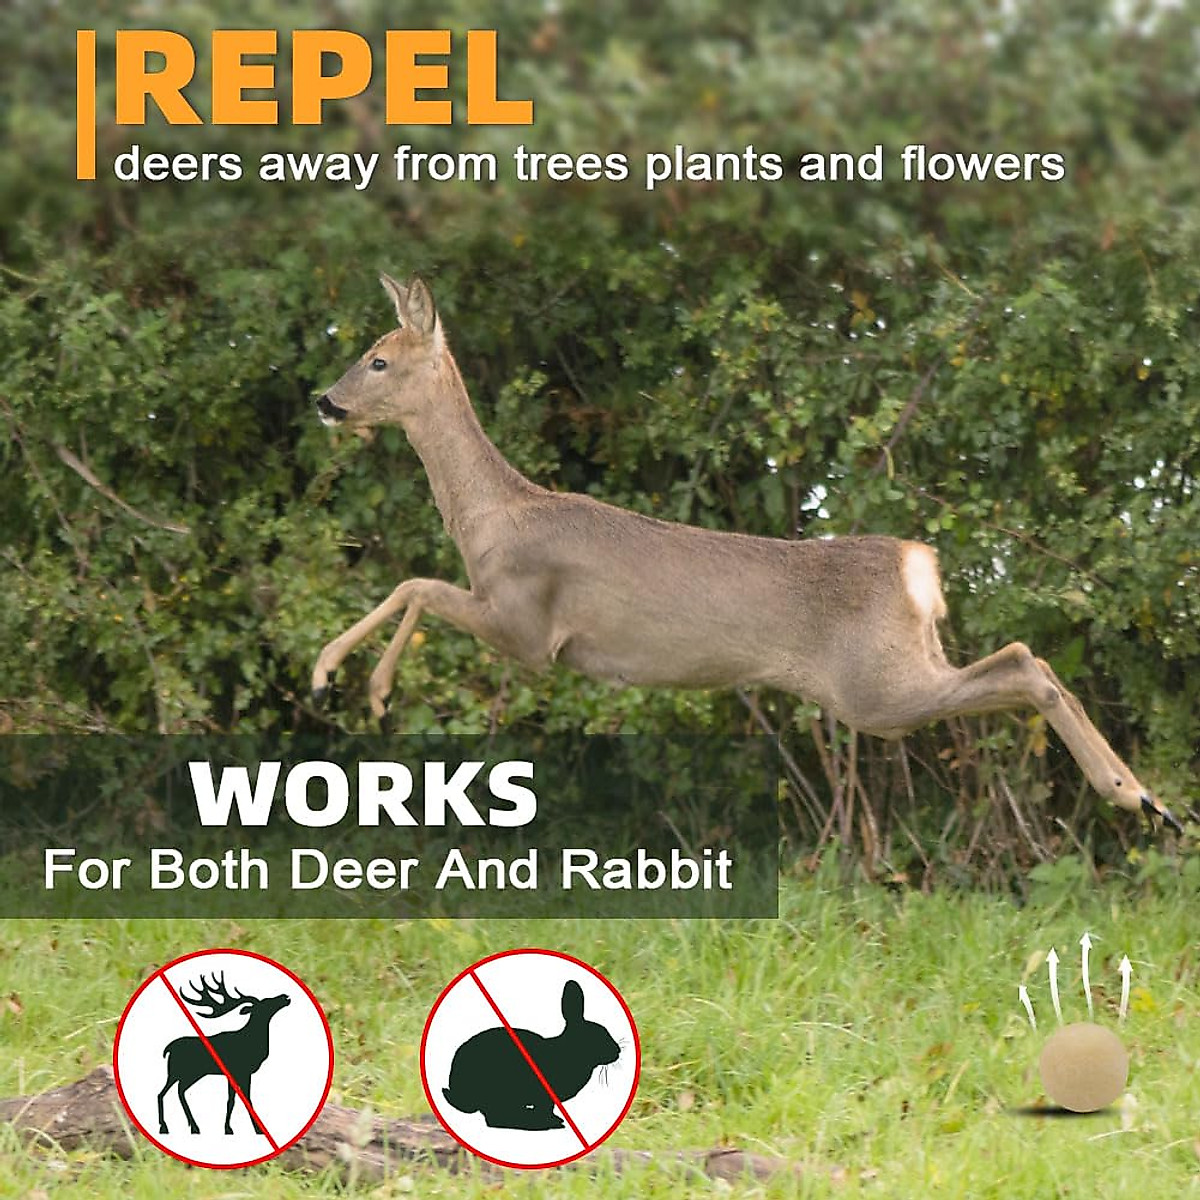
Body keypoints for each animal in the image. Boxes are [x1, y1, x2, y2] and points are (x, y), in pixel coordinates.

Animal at [157, 973, 291, 1136]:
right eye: (265, 1003)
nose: (284, 996)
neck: (252, 1040)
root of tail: (168, 1048)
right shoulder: (241, 1071)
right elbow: (241, 1100)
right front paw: (251, 1129)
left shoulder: (237, 1074)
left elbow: (232, 1100)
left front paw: (229, 1128)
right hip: (179, 1071)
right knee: (166, 1092)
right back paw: (169, 1127)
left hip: (188, 1074)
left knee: (177, 1091)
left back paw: (191, 1126)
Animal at [311, 273, 1187, 835]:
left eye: (379, 359)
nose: (325, 400)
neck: (493, 515)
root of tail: (917, 564)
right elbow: (416, 585)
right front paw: (357, 686)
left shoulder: (529, 627)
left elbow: (416, 583)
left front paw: (352, 683)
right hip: (903, 664)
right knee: (1022, 663)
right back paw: (1151, 801)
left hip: (873, 687)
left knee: (1024, 665)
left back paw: (1139, 798)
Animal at [441, 979, 621, 1130]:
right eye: (597, 1037)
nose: (617, 1051)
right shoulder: (544, 1097)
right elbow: (545, 1109)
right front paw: (554, 1122)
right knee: (495, 1119)